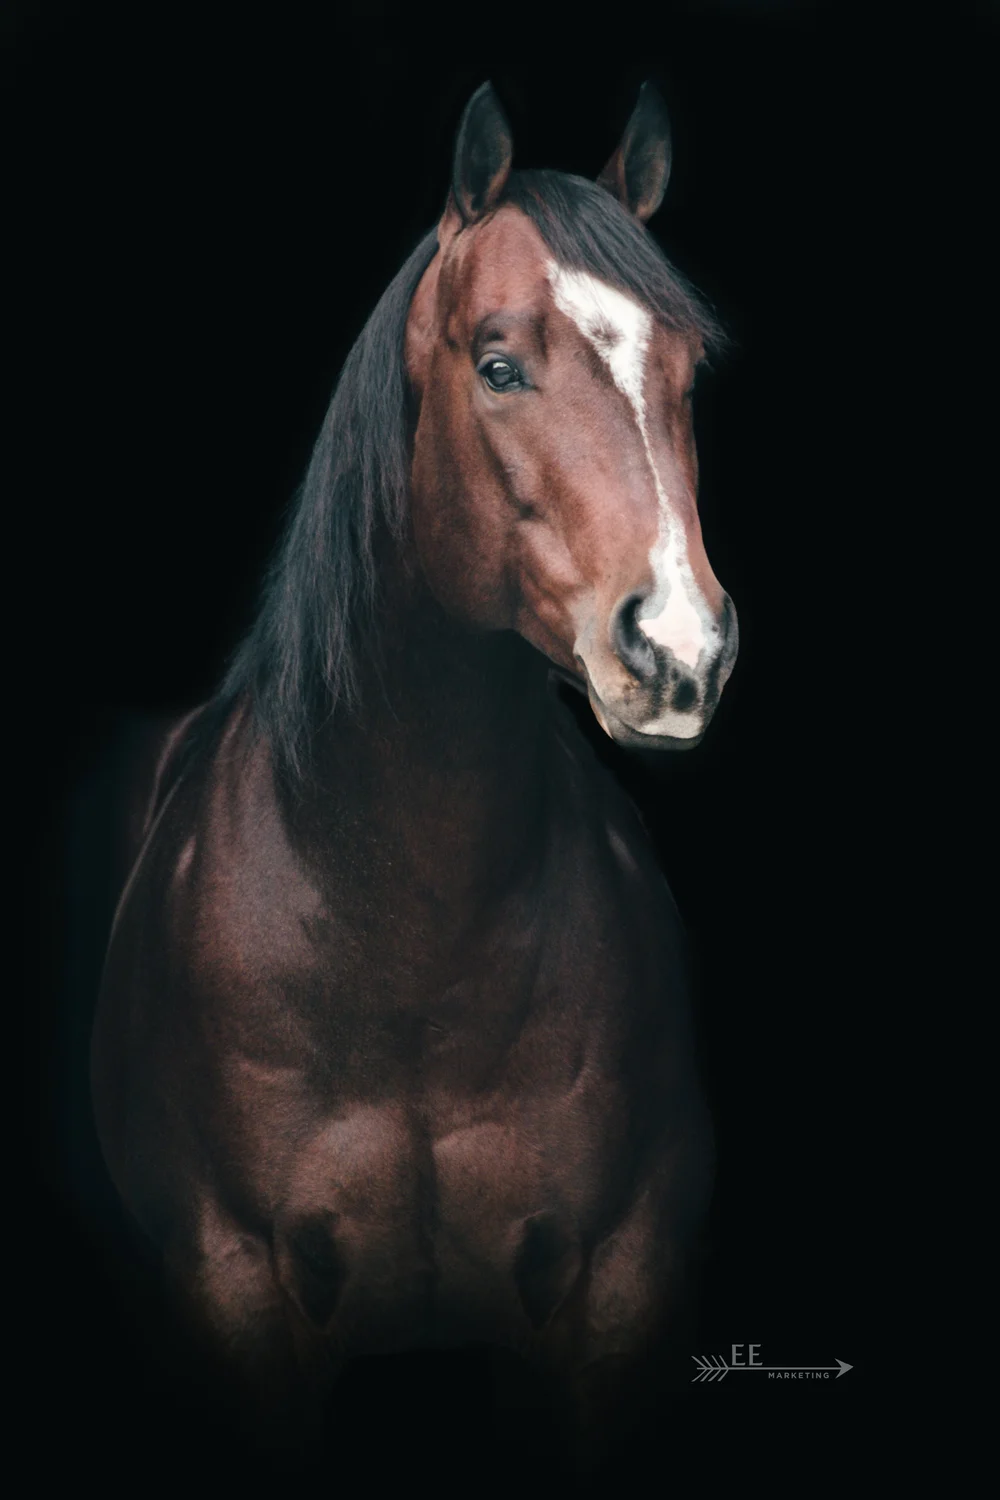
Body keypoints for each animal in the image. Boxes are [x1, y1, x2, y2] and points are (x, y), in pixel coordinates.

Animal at [91, 80, 738, 1468]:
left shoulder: (617, 1295)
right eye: (497, 364)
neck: (408, 948)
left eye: (686, 371)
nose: (678, 654)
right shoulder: (235, 1298)